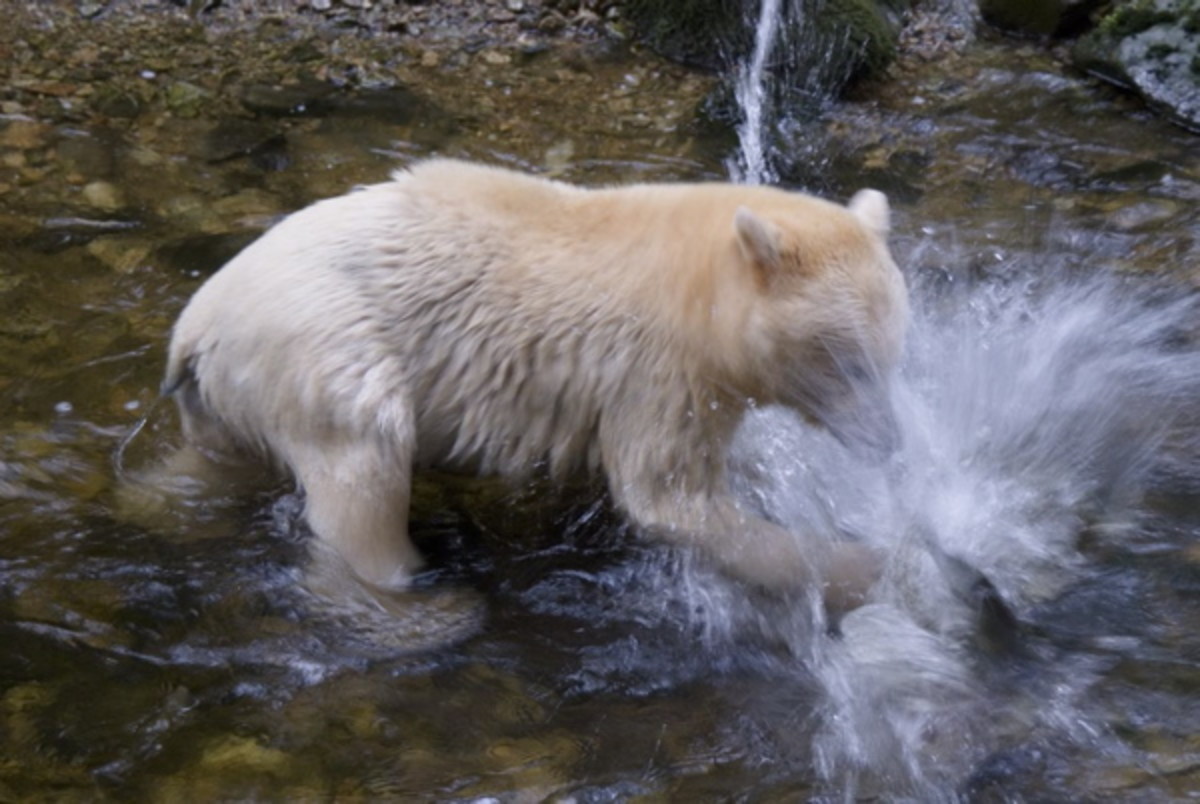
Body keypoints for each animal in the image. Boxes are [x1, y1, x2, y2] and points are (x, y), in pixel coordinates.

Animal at [158, 159, 908, 612]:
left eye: (895, 353)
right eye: (849, 362)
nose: (892, 443)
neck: (696, 279)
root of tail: (196, 327)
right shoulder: (656, 374)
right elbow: (672, 500)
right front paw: (870, 568)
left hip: (224, 397)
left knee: (212, 462)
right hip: (330, 351)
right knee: (363, 478)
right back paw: (426, 600)